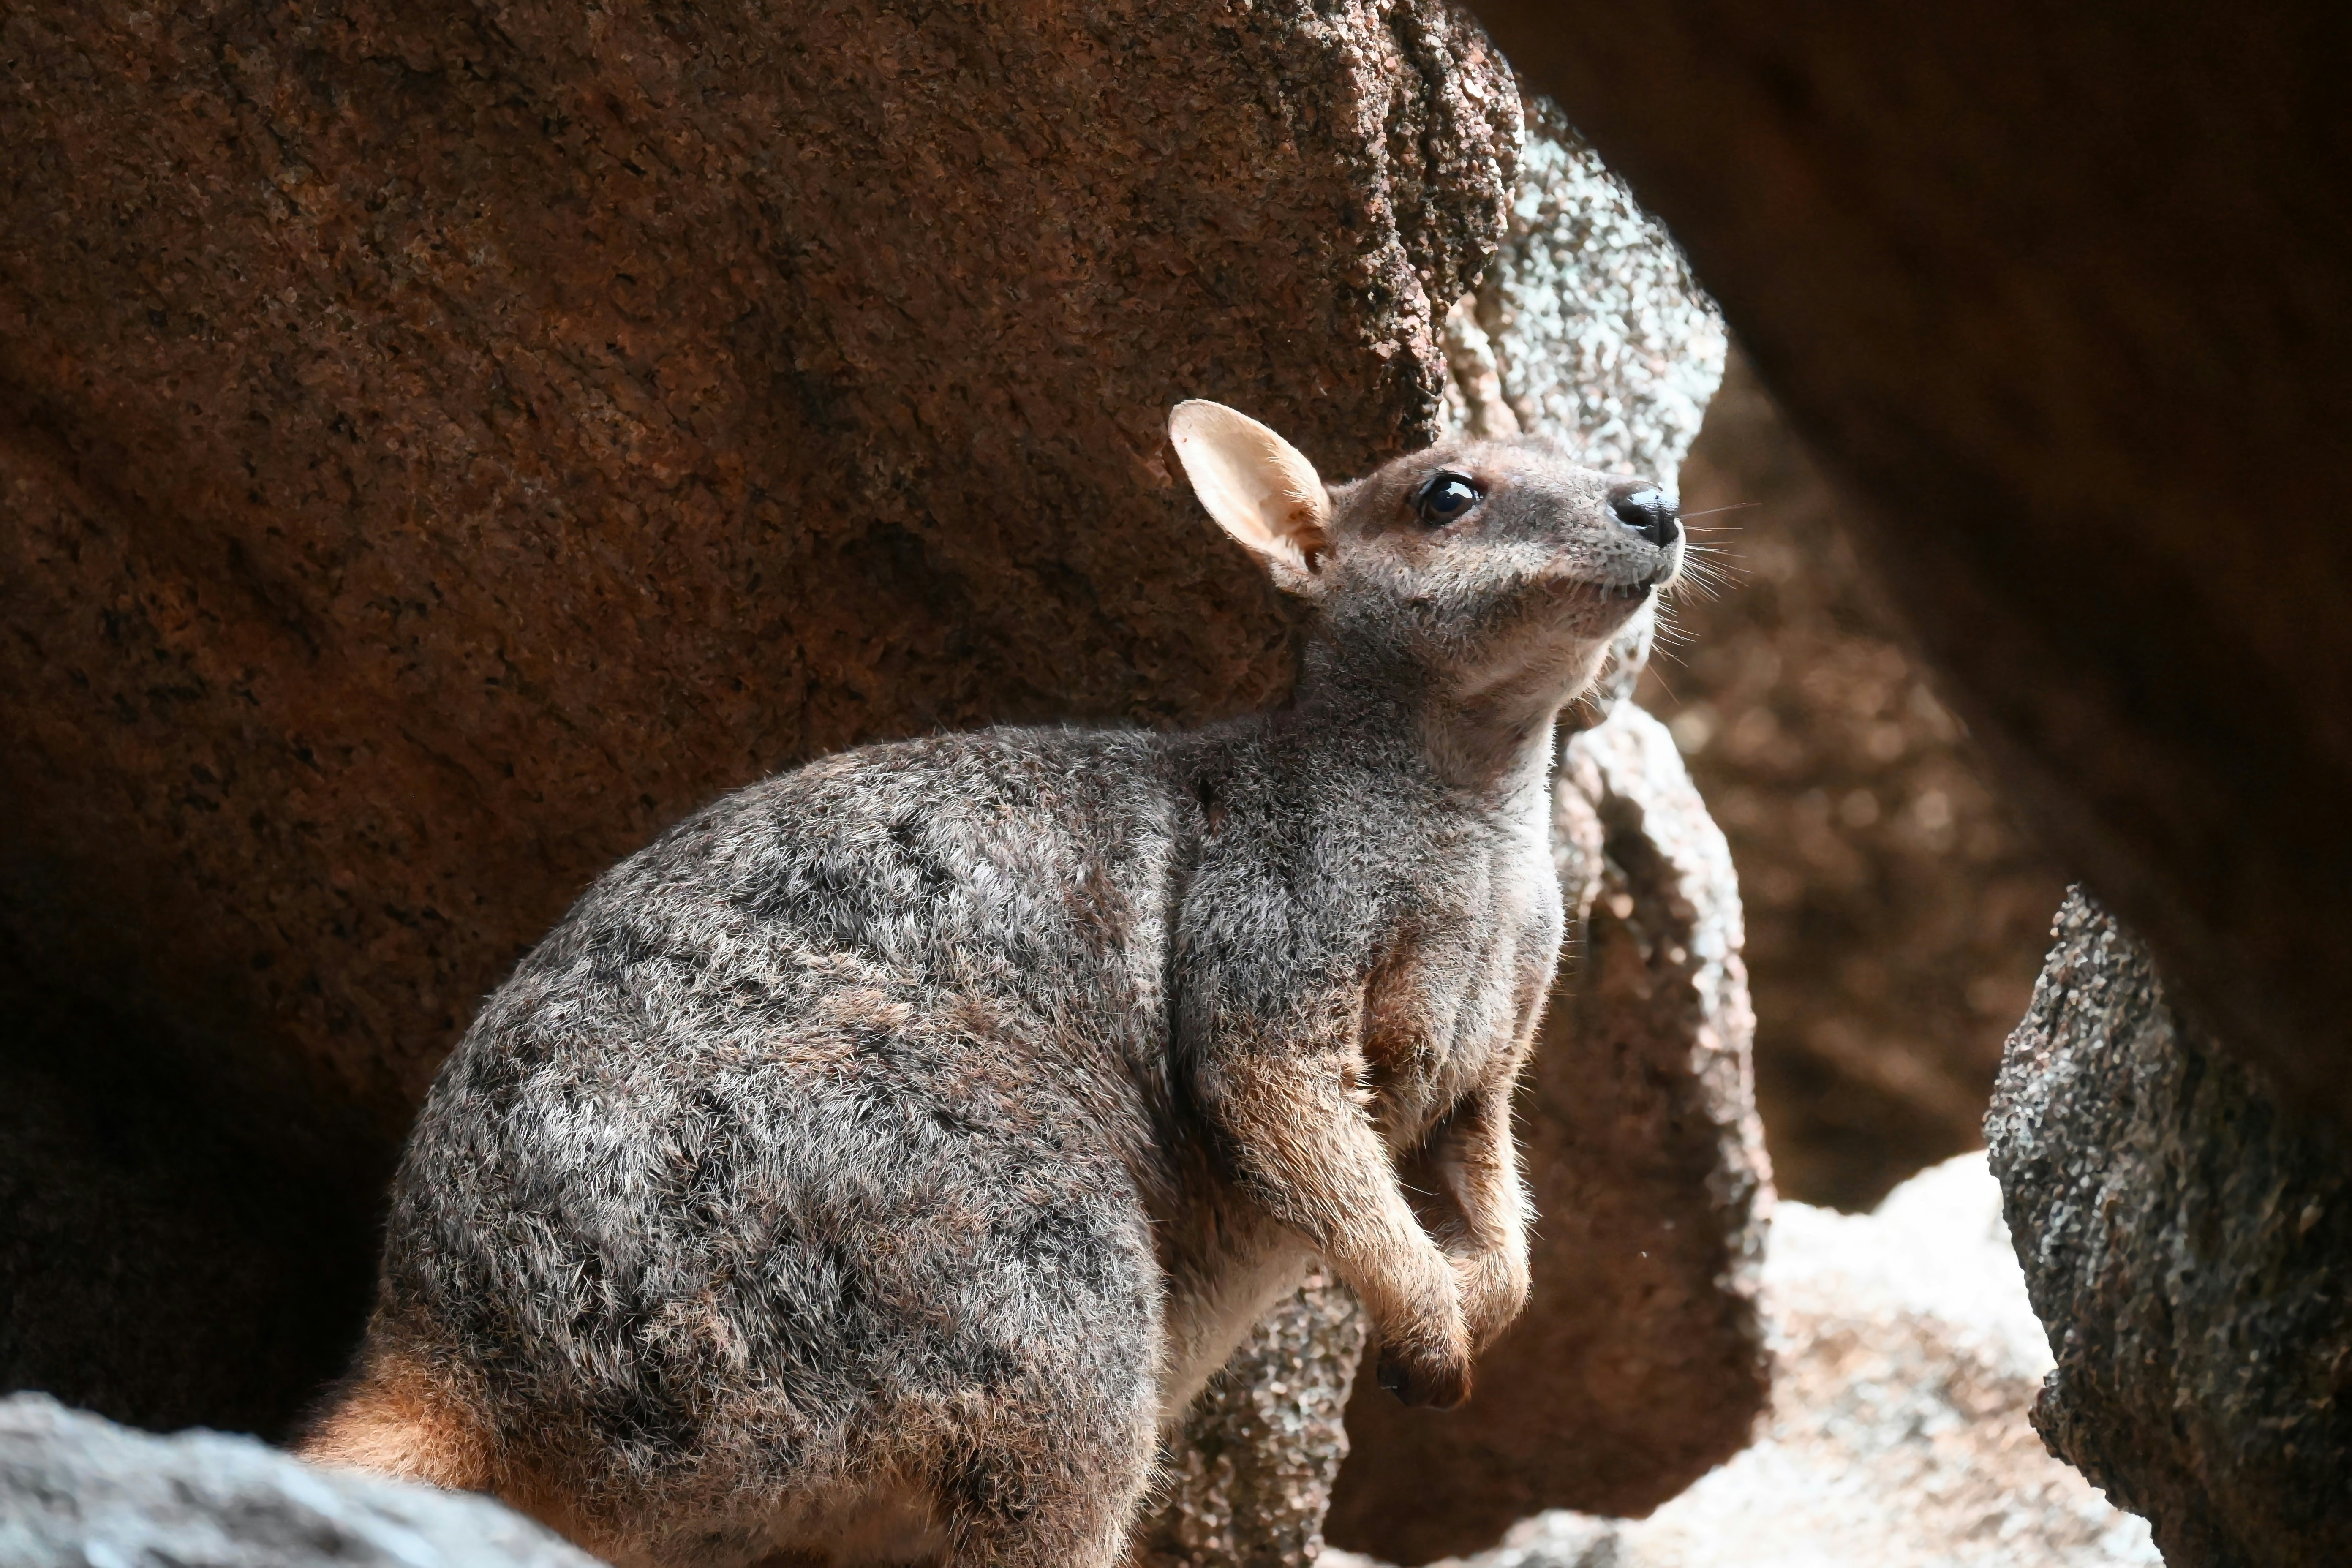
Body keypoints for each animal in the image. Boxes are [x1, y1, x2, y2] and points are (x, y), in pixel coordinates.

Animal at [299, 400, 1685, 1568]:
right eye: (1447, 493)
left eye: (1583, 452)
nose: (1656, 508)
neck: (1472, 802)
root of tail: (438, 1360)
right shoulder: (1273, 925)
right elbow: (1274, 1095)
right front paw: (1432, 1330)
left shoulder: (1499, 1042)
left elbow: (1487, 1169)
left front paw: (1480, 1303)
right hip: (1000, 1253)